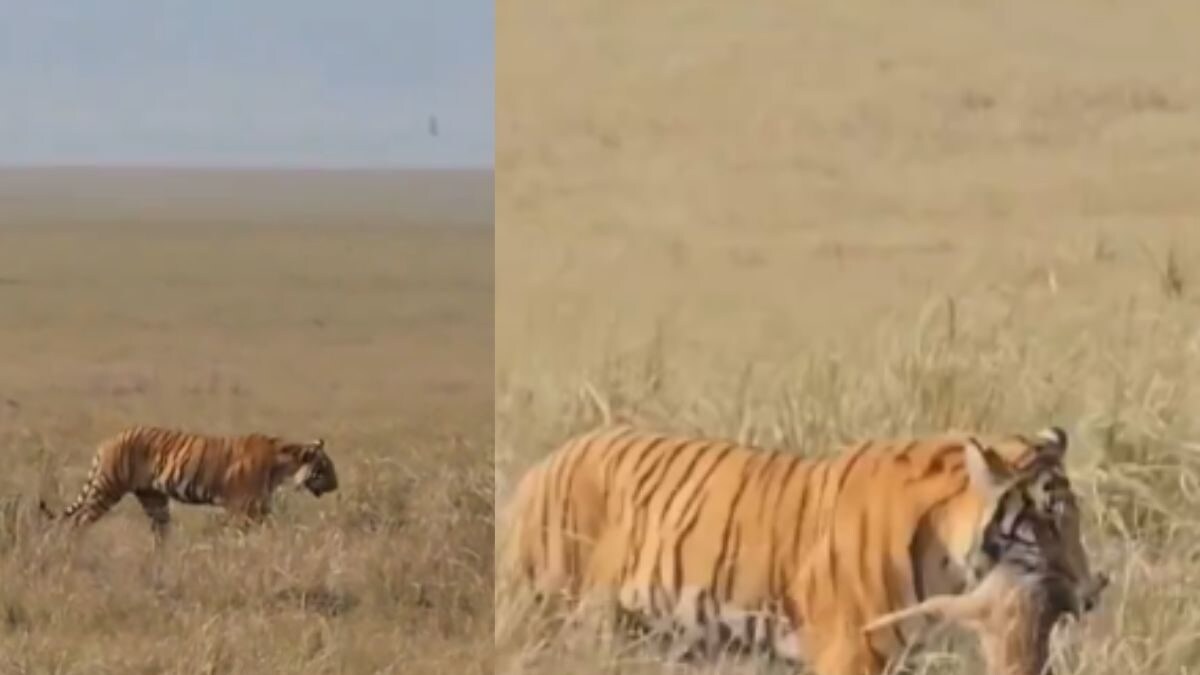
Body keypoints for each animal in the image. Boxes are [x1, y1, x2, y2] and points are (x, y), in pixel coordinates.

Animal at [39, 426, 339, 540]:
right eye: (324, 468)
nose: (336, 486)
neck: (282, 466)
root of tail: (108, 440)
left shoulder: (259, 507)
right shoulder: (243, 507)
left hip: (154, 500)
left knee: (160, 534)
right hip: (107, 489)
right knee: (79, 521)